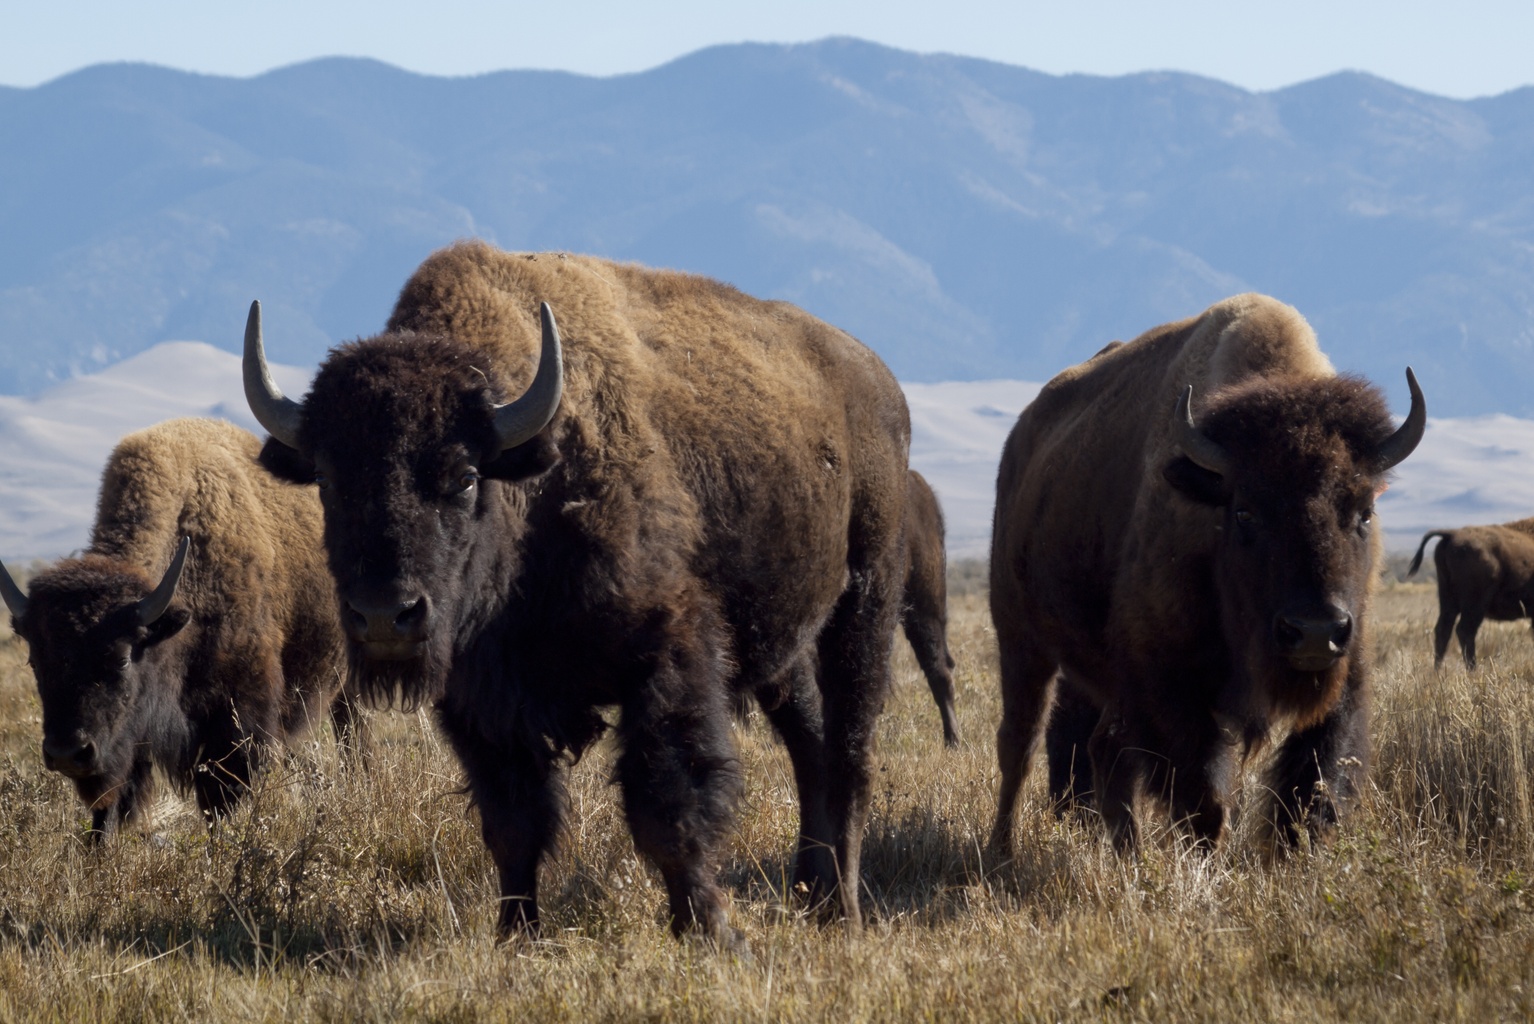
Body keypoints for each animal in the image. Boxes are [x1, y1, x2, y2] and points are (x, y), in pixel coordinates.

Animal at [0, 418, 350, 837]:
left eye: (122, 659)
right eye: (35, 661)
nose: (68, 753)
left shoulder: (237, 726)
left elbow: (221, 803)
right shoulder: (130, 743)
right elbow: (111, 812)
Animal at [244, 242, 910, 946]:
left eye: (464, 476)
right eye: (326, 478)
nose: (382, 618)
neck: (534, 483)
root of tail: (879, 381)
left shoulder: (669, 657)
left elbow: (670, 804)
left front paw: (712, 933)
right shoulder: (482, 703)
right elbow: (514, 823)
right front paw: (516, 935)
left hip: (867, 599)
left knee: (850, 755)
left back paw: (844, 910)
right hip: (785, 646)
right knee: (810, 745)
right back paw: (812, 894)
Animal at [987, 294, 1425, 853]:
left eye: (1364, 511)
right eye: (1245, 513)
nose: (1314, 632)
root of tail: (1021, 441)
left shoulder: (1345, 678)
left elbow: (1311, 793)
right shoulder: (1171, 689)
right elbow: (1204, 802)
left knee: (1101, 748)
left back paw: (1127, 852)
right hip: (1021, 639)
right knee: (1019, 745)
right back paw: (1000, 851)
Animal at [1408, 519, 1534, 667]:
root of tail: (1452, 534)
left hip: (1447, 598)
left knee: (1443, 630)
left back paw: (1437, 670)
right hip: (1475, 604)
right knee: (1465, 630)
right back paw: (1473, 669)